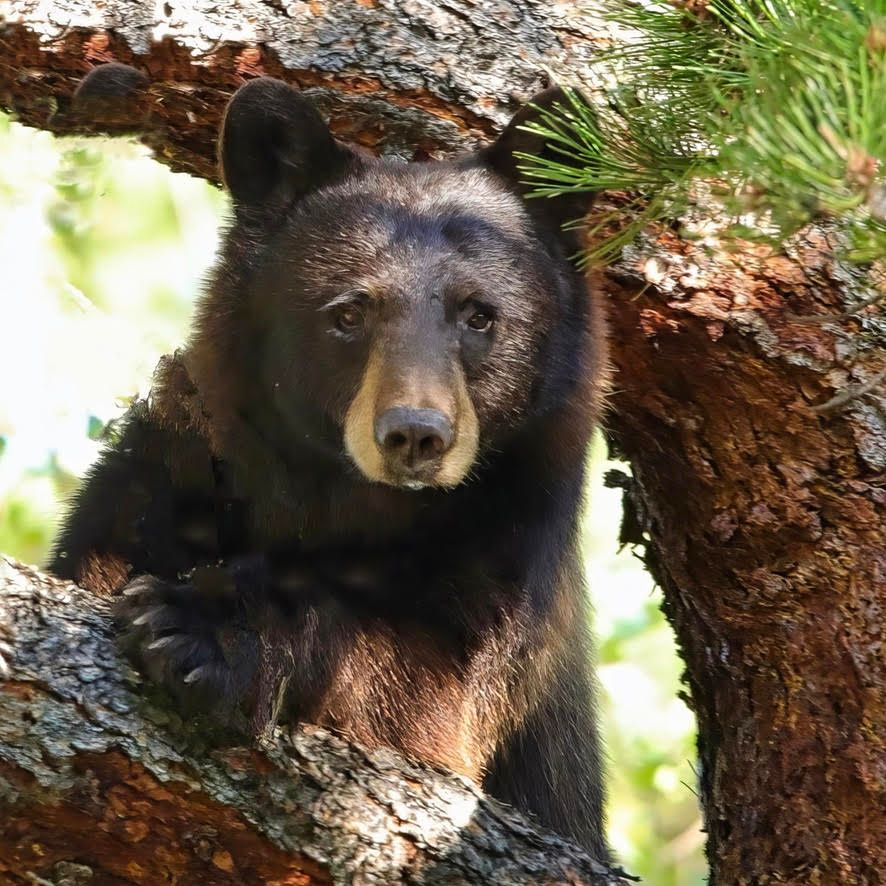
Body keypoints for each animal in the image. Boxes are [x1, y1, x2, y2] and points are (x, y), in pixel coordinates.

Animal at [49, 77, 610, 859]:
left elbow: (419, 681)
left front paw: (202, 628)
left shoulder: (508, 565)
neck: (348, 504)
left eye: (479, 315)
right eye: (349, 312)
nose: (415, 435)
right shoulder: (167, 477)